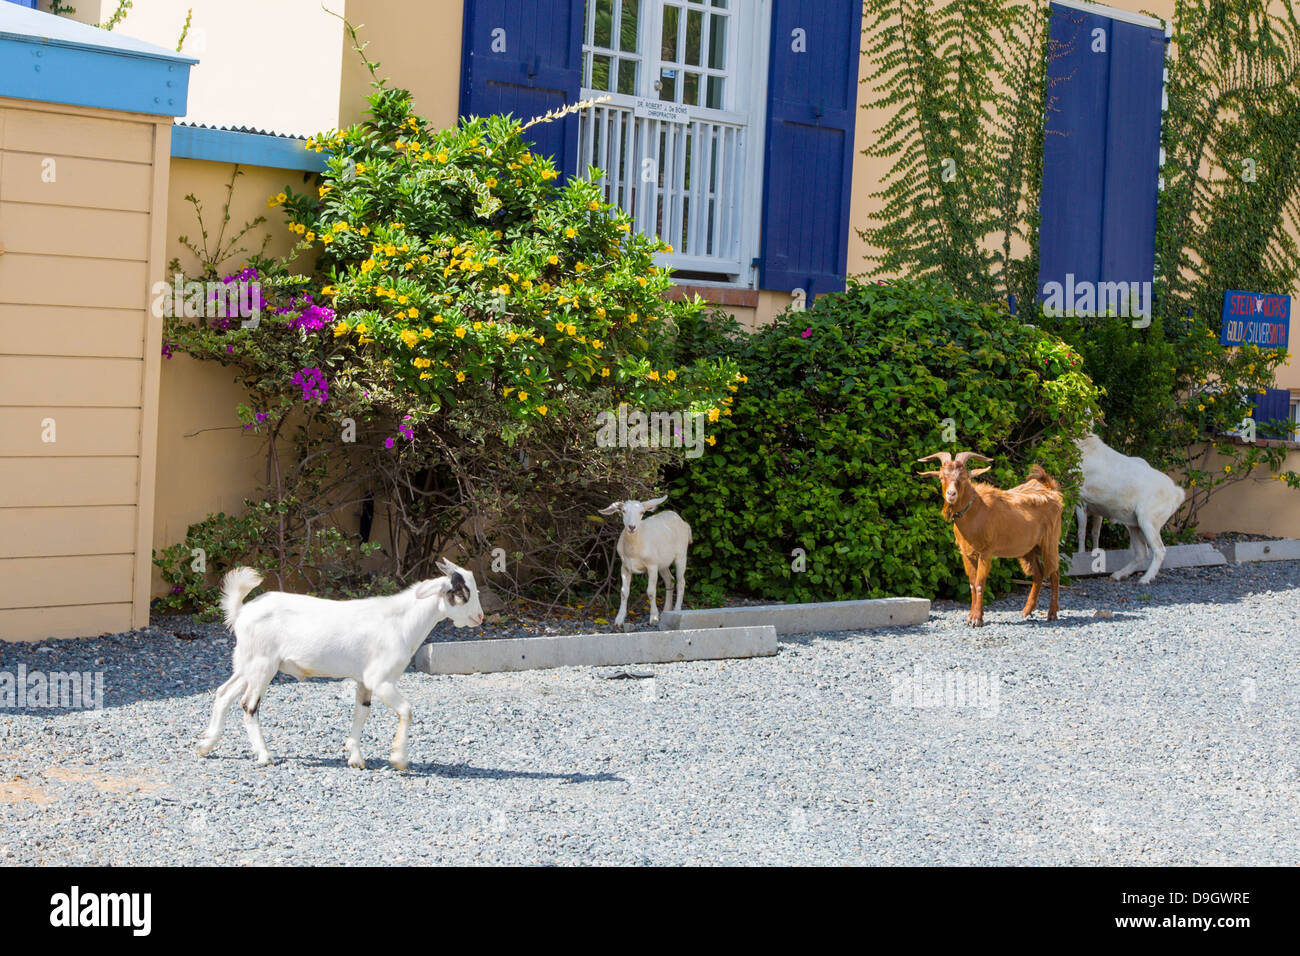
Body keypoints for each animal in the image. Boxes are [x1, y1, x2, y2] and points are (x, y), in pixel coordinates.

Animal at [197, 558, 484, 769]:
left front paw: (355, 757)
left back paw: (205, 745)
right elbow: (406, 709)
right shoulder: (380, 680)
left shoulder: (364, 680)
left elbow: (362, 711)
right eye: (462, 592)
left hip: (247, 664)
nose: (480, 617)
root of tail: (241, 612)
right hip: (263, 666)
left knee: (223, 694)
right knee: (248, 705)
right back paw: (264, 756)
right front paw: (398, 759)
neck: (401, 622)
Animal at [599, 495, 692, 628]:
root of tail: (683, 522)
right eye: (623, 511)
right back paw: (666, 610)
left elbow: (651, 592)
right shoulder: (625, 566)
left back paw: (676, 610)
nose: (631, 527)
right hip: (662, 563)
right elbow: (624, 592)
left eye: (642, 512)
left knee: (681, 581)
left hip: (681, 555)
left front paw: (653, 618)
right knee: (669, 580)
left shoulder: (652, 565)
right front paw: (619, 619)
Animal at [919, 451, 1064, 627]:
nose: (951, 494)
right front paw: (972, 615)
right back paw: (1027, 611)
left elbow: (980, 584)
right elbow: (972, 584)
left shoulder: (986, 552)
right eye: (941, 477)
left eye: (964, 477)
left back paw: (1052, 613)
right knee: (1038, 574)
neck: (975, 511)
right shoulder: (966, 553)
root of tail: (1052, 492)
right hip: (1028, 549)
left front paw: (976, 619)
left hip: (1050, 542)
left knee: (1054, 573)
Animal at [1074, 432, 1186, 583]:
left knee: (1159, 550)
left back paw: (1145, 579)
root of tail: (1176, 493)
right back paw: (1118, 575)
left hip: (1148, 522)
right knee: (1141, 553)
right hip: (1135, 526)